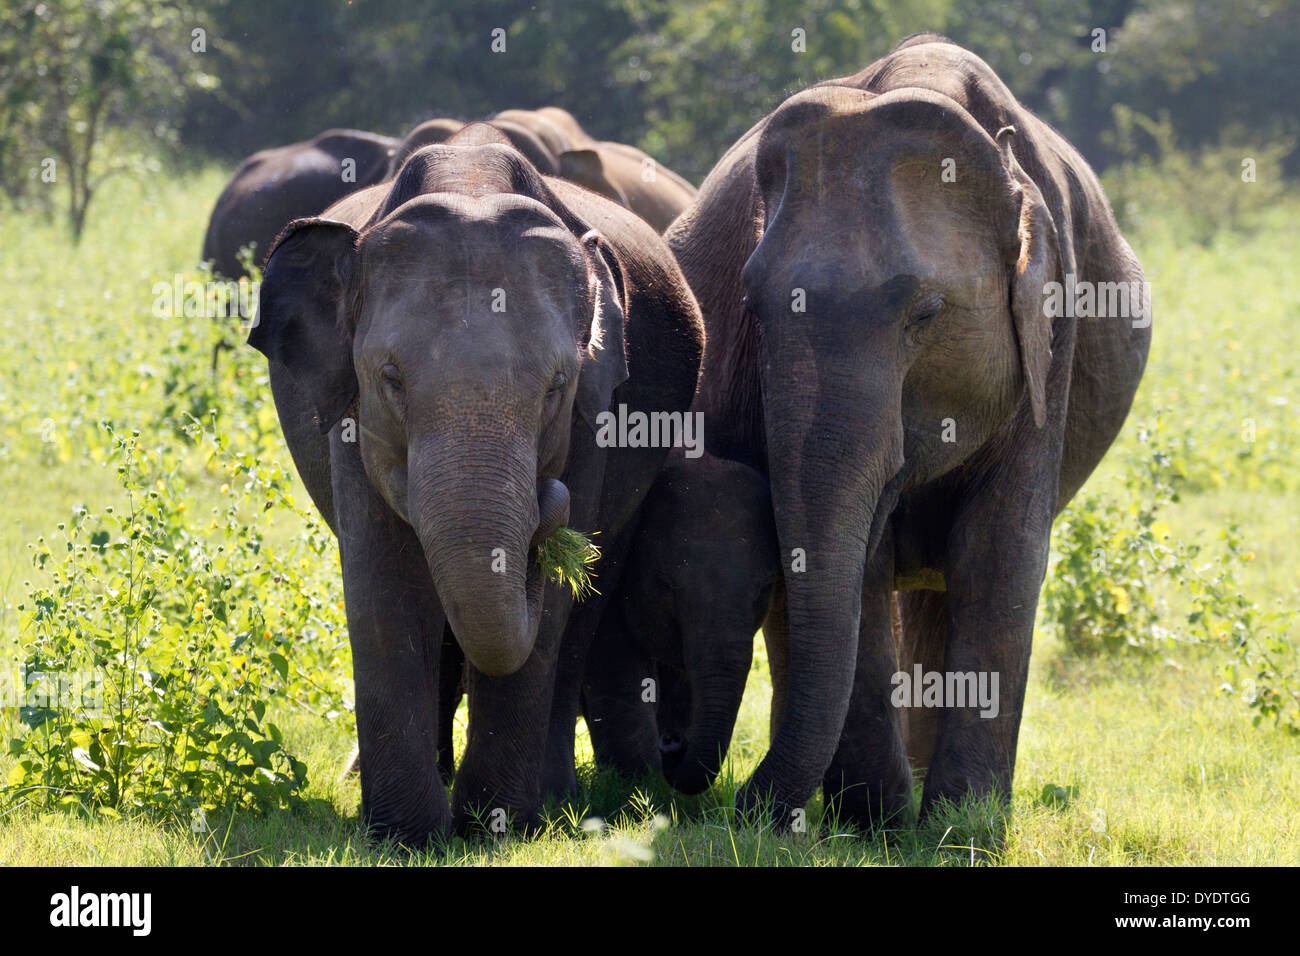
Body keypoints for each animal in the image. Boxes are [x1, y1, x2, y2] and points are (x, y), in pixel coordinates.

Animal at [248, 122, 704, 842]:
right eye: (391, 377)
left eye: (556, 385)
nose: (547, 505)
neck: (472, 181)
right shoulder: (350, 410)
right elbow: (380, 582)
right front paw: (405, 836)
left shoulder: (594, 417)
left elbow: (549, 618)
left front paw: (498, 826)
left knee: (580, 617)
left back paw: (552, 794)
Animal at [664, 34, 1151, 829]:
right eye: (750, 306)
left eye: (925, 313)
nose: (740, 803)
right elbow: (862, 560)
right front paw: (877, 824)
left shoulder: (1053, 338)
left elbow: (999, 548)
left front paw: (965, 829)